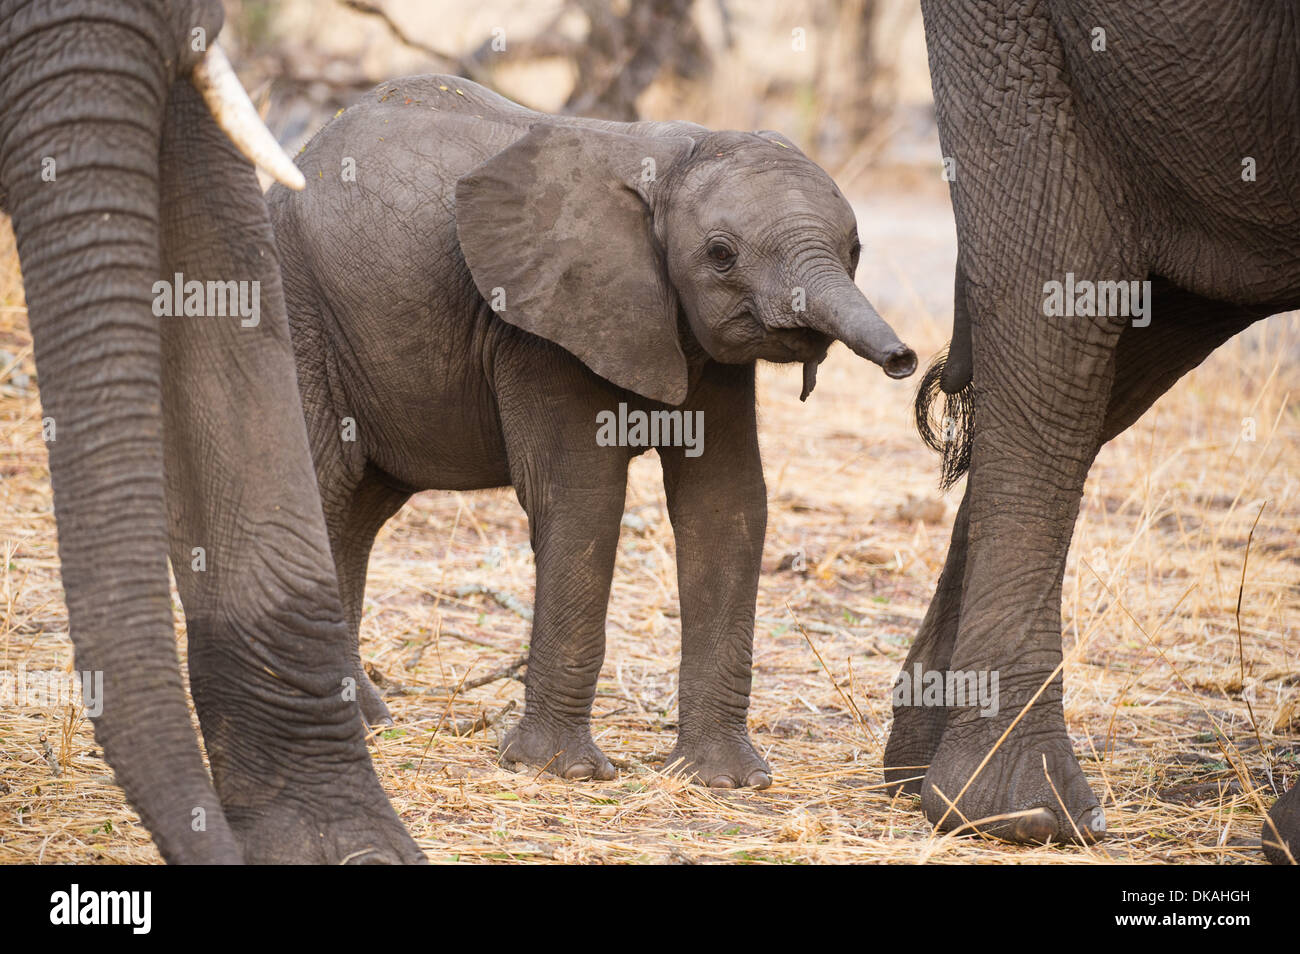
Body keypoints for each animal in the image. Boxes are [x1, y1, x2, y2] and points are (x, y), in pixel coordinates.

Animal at [266, 75, 917, 787]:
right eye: (721, 255)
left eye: (855, 252)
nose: (904, 360)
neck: (669, 160)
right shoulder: (539, 323)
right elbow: (584, 498)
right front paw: (561, 770)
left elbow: (727, 504)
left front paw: (724, 781)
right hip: (298, 304)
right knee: (322, 487)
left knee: (358, 512)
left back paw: (364, 718)